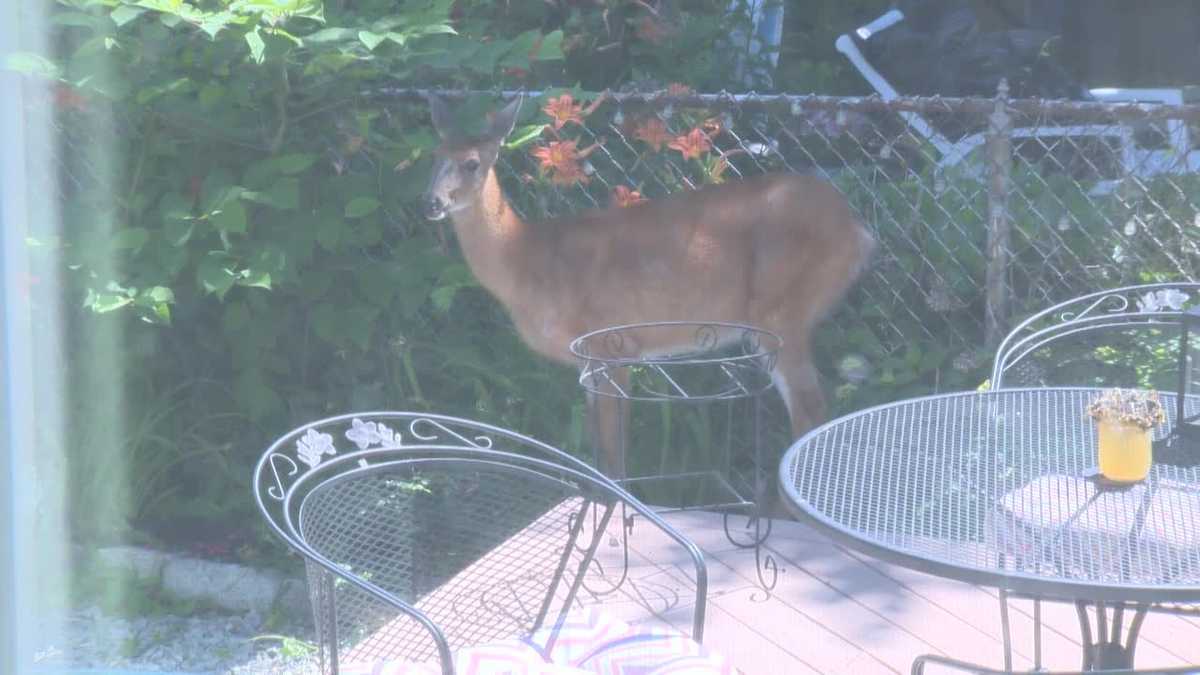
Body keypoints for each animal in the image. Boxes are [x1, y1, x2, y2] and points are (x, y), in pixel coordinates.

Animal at [421, 95, 874, 478]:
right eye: (435, 156)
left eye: (472, 163)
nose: (432, 202)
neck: (528, 260)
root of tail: (859, 229)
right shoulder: (590, 358)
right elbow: (599, 448)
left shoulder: (612, 343)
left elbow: (614, 453)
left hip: (783, 309)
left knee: (810, 408)